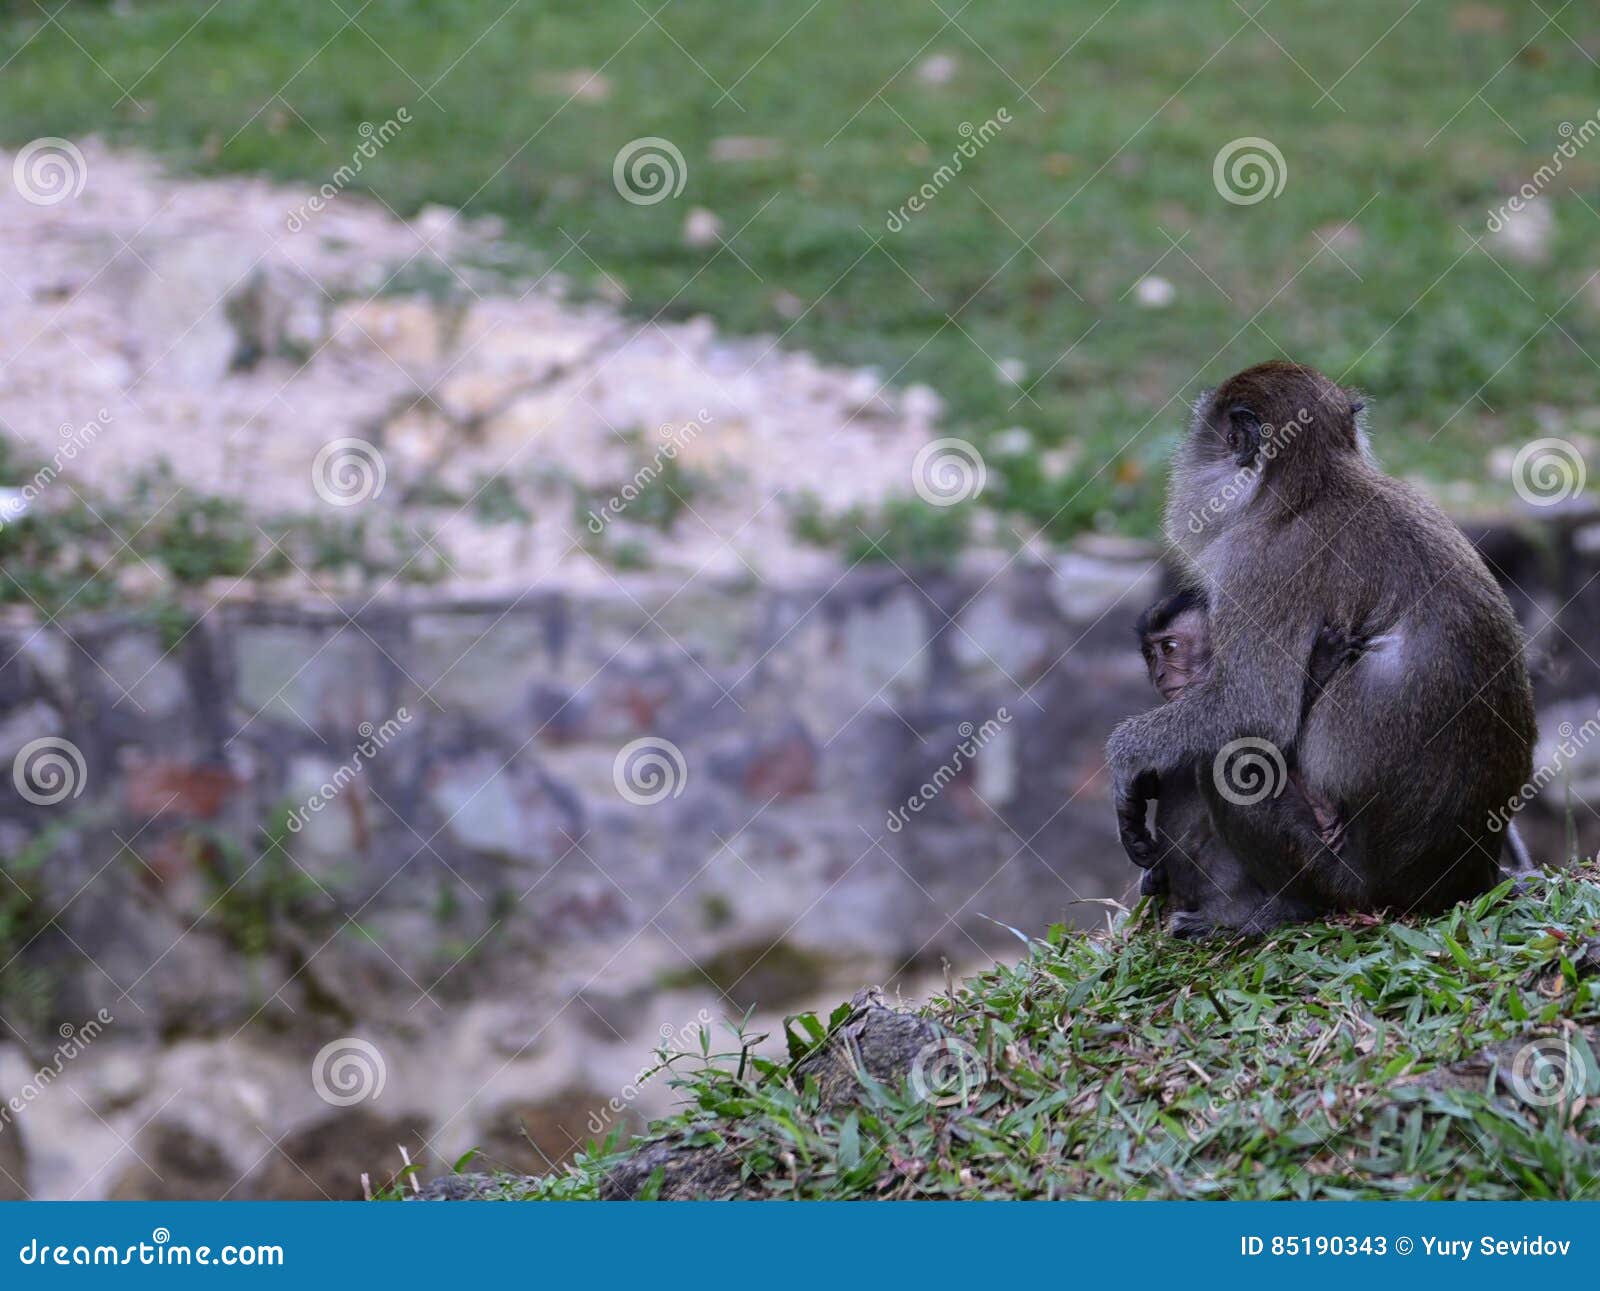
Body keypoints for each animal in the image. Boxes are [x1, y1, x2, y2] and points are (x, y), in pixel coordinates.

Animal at [1107, 361, 1537, 926]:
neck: (1312, 486)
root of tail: (1462, 879)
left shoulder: (1259, 562)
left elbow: (1250, 710)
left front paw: (1128, 760)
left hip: (1349, 884)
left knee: (1232, 759)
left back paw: (1275, 912)